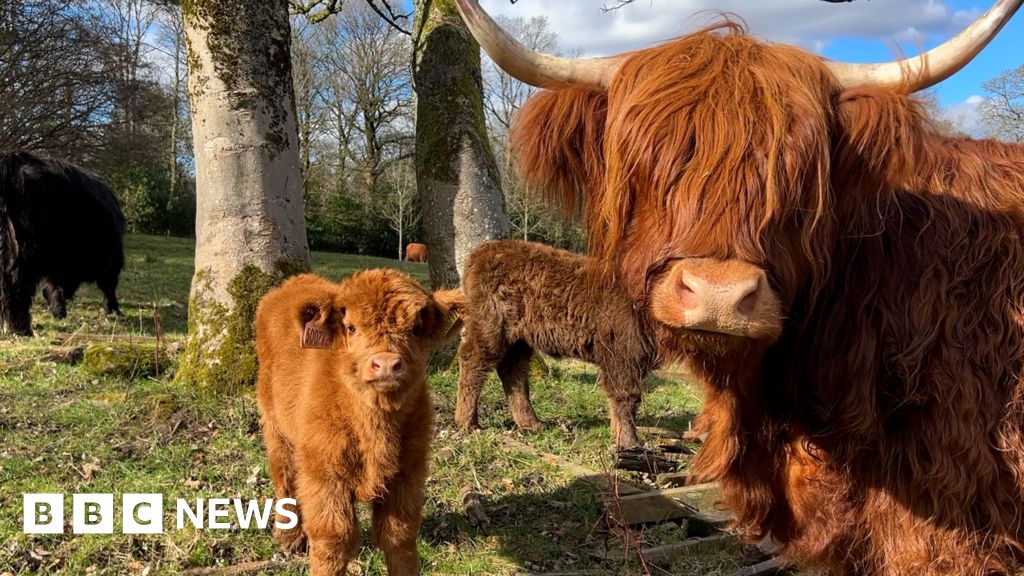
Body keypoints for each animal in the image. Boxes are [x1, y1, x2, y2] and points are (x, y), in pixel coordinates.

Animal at [0, 151, 125, 336]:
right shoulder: (110, 257)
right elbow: (108, 285)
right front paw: (114, 310)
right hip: (23, 252)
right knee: (17, 286)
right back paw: (22, 329)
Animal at [255, 270, 464, 576]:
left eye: (416, 328)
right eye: (351, 327)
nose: (386, 364)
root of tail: (293, 282)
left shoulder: (408, 473)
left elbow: (398, 537)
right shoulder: (324, 477)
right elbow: (333, 541)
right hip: (275, 427)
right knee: (283, 474)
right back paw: (289, 536)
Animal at [456, 240, 658, 451]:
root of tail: (482, 251)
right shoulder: (621, 356)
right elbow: (627, 397)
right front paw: (630, 443)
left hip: (519, 339)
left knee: (512, 372)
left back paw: (532, 424)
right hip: (490, 326)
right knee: (473, 361)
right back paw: (468, 423)